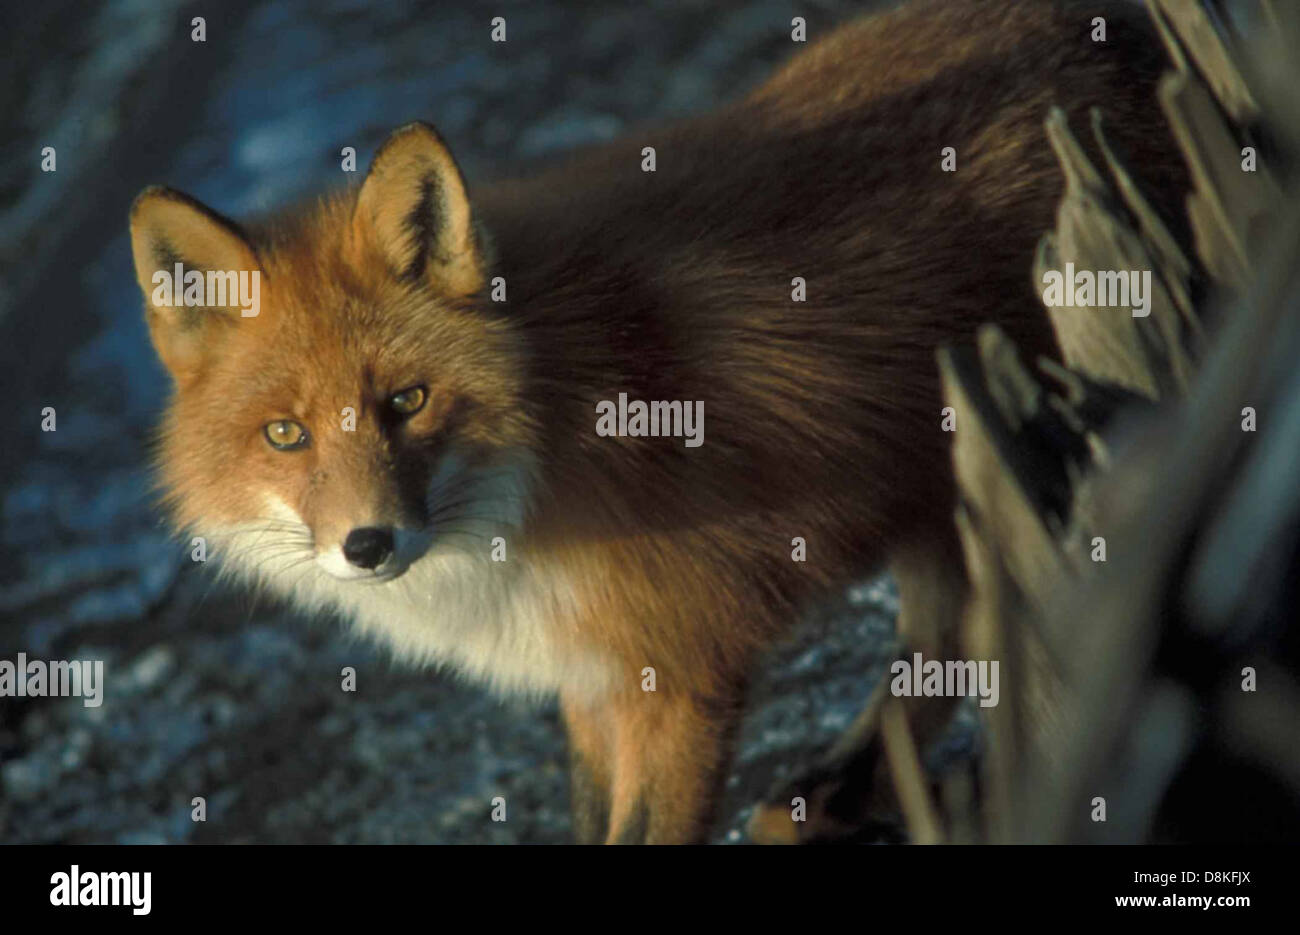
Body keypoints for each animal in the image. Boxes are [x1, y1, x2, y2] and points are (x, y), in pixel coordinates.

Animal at [128, 0, 1186, 843]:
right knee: (953, 625)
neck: (550, 455)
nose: (367, 543)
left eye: (408, 400)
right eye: (286, 434)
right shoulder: (592, 677)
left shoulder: (679, 671)